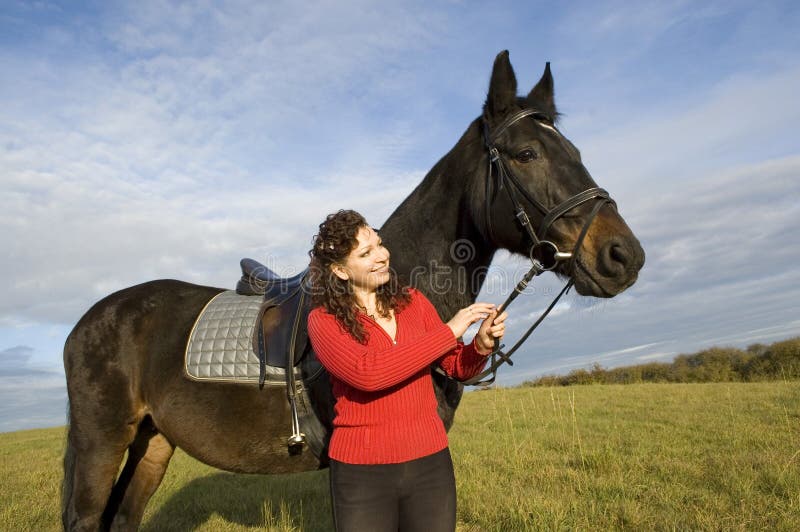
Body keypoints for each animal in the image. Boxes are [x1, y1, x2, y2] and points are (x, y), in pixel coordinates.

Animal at [61, 50, 645, 531]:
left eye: (574, 149)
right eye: (526, 154)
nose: (625, 256)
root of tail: (86, 322)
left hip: (153, 443)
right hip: (102, 442)